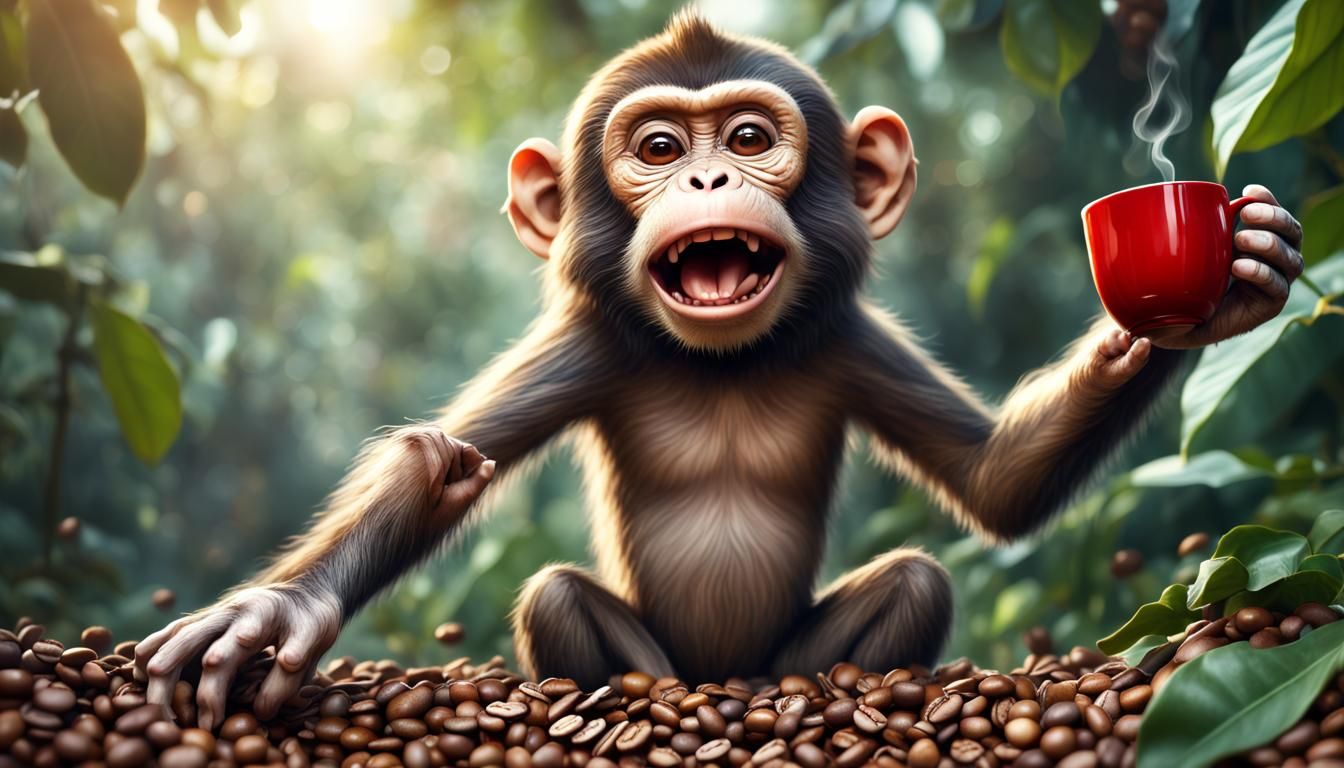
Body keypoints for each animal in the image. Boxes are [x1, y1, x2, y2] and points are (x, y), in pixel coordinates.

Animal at [136, 13, 1305, 729]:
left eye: (746, 138)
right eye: (657, 148)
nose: (704, 177)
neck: (724, 363)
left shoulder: (845, 337)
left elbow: (994, 484)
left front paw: (1225, 289)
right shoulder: (589, 343)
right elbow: (439, 467)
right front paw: (275, 615)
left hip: (785, 664)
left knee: (917, 581)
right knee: (556, 596)